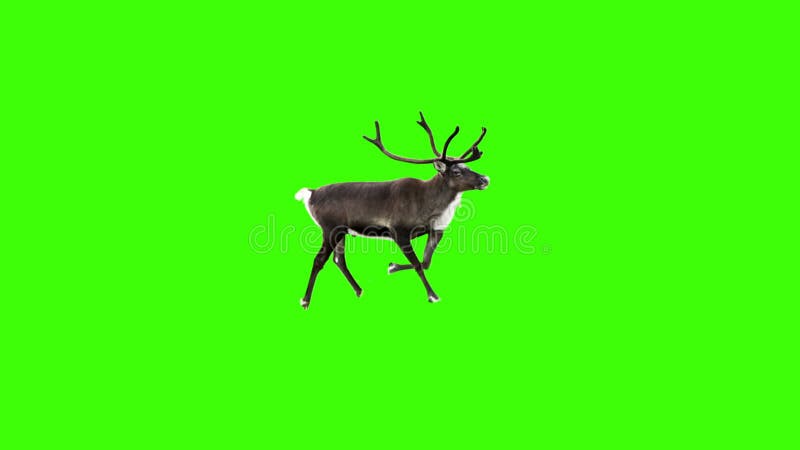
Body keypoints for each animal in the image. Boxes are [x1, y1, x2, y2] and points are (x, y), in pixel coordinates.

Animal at [294, 112, 490, 309]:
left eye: (468, 167)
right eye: (456, 171)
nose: (485, 179)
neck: (430, 205)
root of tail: (311, 194)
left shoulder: (436, 230)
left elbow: (425, 262)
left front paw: (393, 266)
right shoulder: (399, 232)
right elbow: (418, 264)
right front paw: (432, 295)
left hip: (342, 231)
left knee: (339, 260)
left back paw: (359, 290)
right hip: (330, 228)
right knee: (319, 260)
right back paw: (305, 300)